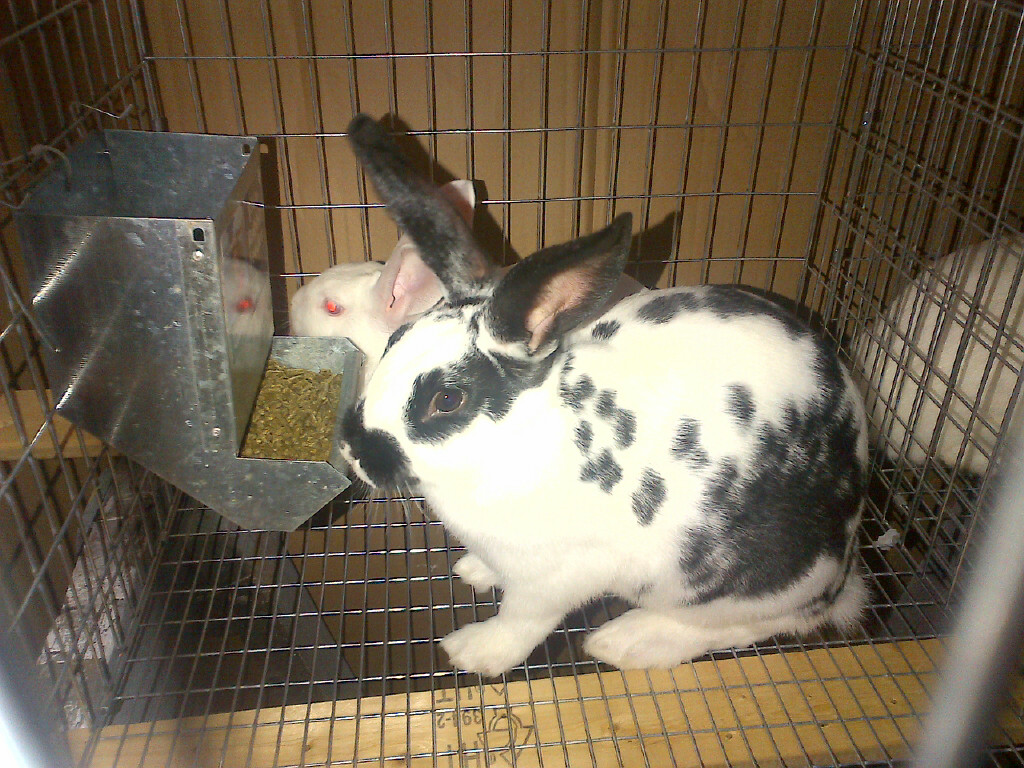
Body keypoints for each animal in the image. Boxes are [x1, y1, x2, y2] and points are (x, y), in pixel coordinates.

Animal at [338, 114, 868, 675]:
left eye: (446, 400)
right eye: (394, 341)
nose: (352, 450)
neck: (519, 437)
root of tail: (844, 569)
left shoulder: (551, 581)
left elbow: (519, 624)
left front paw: (470, 652)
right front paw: (475, 569)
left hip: (733, 586)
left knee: (768, 623)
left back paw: (625, 641)